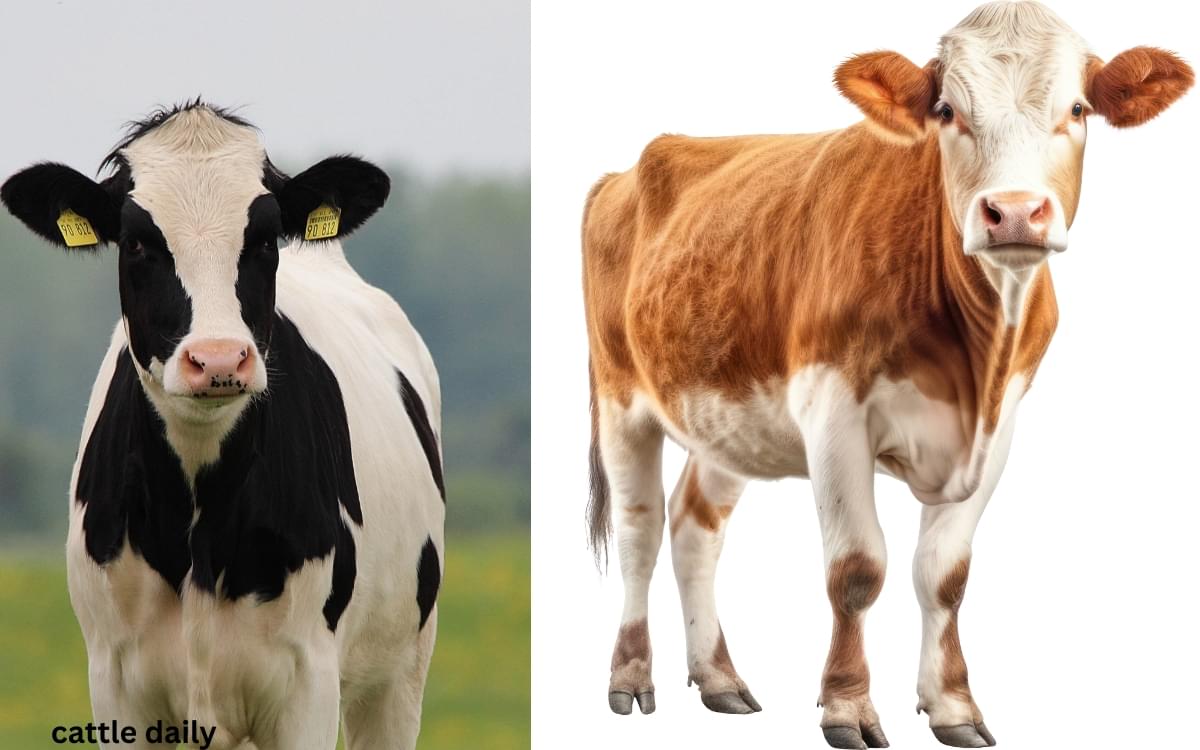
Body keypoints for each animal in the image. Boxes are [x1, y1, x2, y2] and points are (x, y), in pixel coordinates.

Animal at [1, 100, 446, 750]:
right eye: (137, 242)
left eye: (262, 238)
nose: (216, 359)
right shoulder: (115, 682)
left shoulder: (308, 684)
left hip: (399, 672)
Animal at [581, 3, 1192, 748]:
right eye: (947, 110)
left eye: (1076, 108)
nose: (1015, 212)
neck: (974, 357)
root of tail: (622, 175)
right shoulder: (835, 413)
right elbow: (857, 569)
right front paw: (847, 707)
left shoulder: (1000, 428)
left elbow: (945, 575)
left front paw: (954, 706)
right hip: (621, 397)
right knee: (638, 531)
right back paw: (631, 677)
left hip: (724, 416)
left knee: (694, 528)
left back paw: (720, 678)